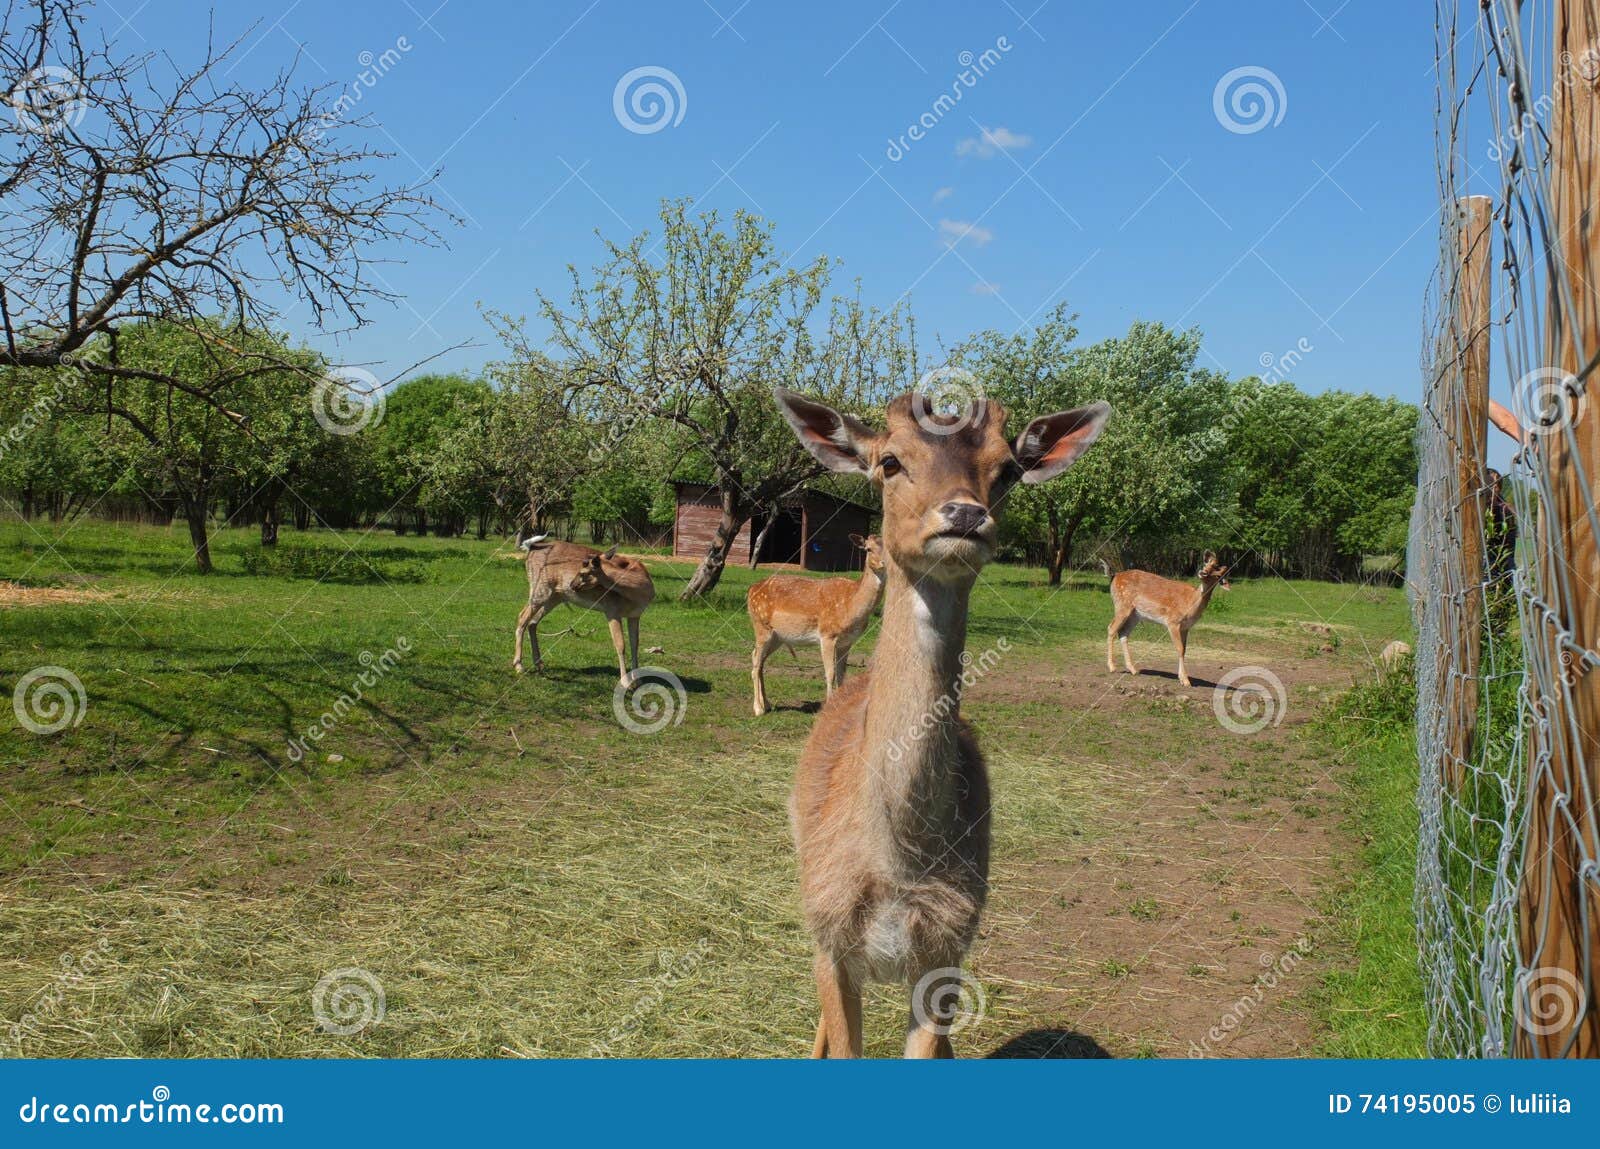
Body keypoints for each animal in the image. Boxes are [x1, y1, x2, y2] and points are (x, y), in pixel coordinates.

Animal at [511, 535, 656, 685]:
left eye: (583, 573)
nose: (572, 585)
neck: (639, 594)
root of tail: (531, 548)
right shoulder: (612, 610)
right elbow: (620, 644)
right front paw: (625, 682)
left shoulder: (635, 615)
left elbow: (635, 644)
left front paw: (638, 681)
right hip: (540, 589)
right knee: (522, 616)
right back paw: (519, 665)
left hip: (555, 597)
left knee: (532, 622)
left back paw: (539, 664)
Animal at [747, 534, 888, 716]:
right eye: (868, 549)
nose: (884, 563)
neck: (851, 605)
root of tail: (750, 590)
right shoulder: (827, 634)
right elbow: (830, 673)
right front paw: (829, 707)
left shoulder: (847, 641)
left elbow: (842, 674)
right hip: (761, 625)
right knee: (756, 661)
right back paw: (758, 708)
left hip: (777, 637)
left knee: (757, 658)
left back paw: (768, 704)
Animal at [773, 387, 1110, 1058]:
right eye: (890, 461)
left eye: (1008, 469)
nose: (963, 515)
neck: (898, 867)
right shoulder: (831, 933)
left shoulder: (947, 947)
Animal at [1105, 552, 1230, 688]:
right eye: (1207, 564)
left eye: (1218, 574)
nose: (1203, 572)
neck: (1190, 603)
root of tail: (1115, 576)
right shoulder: (1173, 622)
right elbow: (1179, 648)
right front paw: (1185, 681)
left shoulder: (1186, 627)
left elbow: (1184, 650)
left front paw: (1182, 678)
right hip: (1122, 604)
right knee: (1111, 628)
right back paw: (1112, 667)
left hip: (1135, 615)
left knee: (1123, 633)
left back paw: (1133, 670)